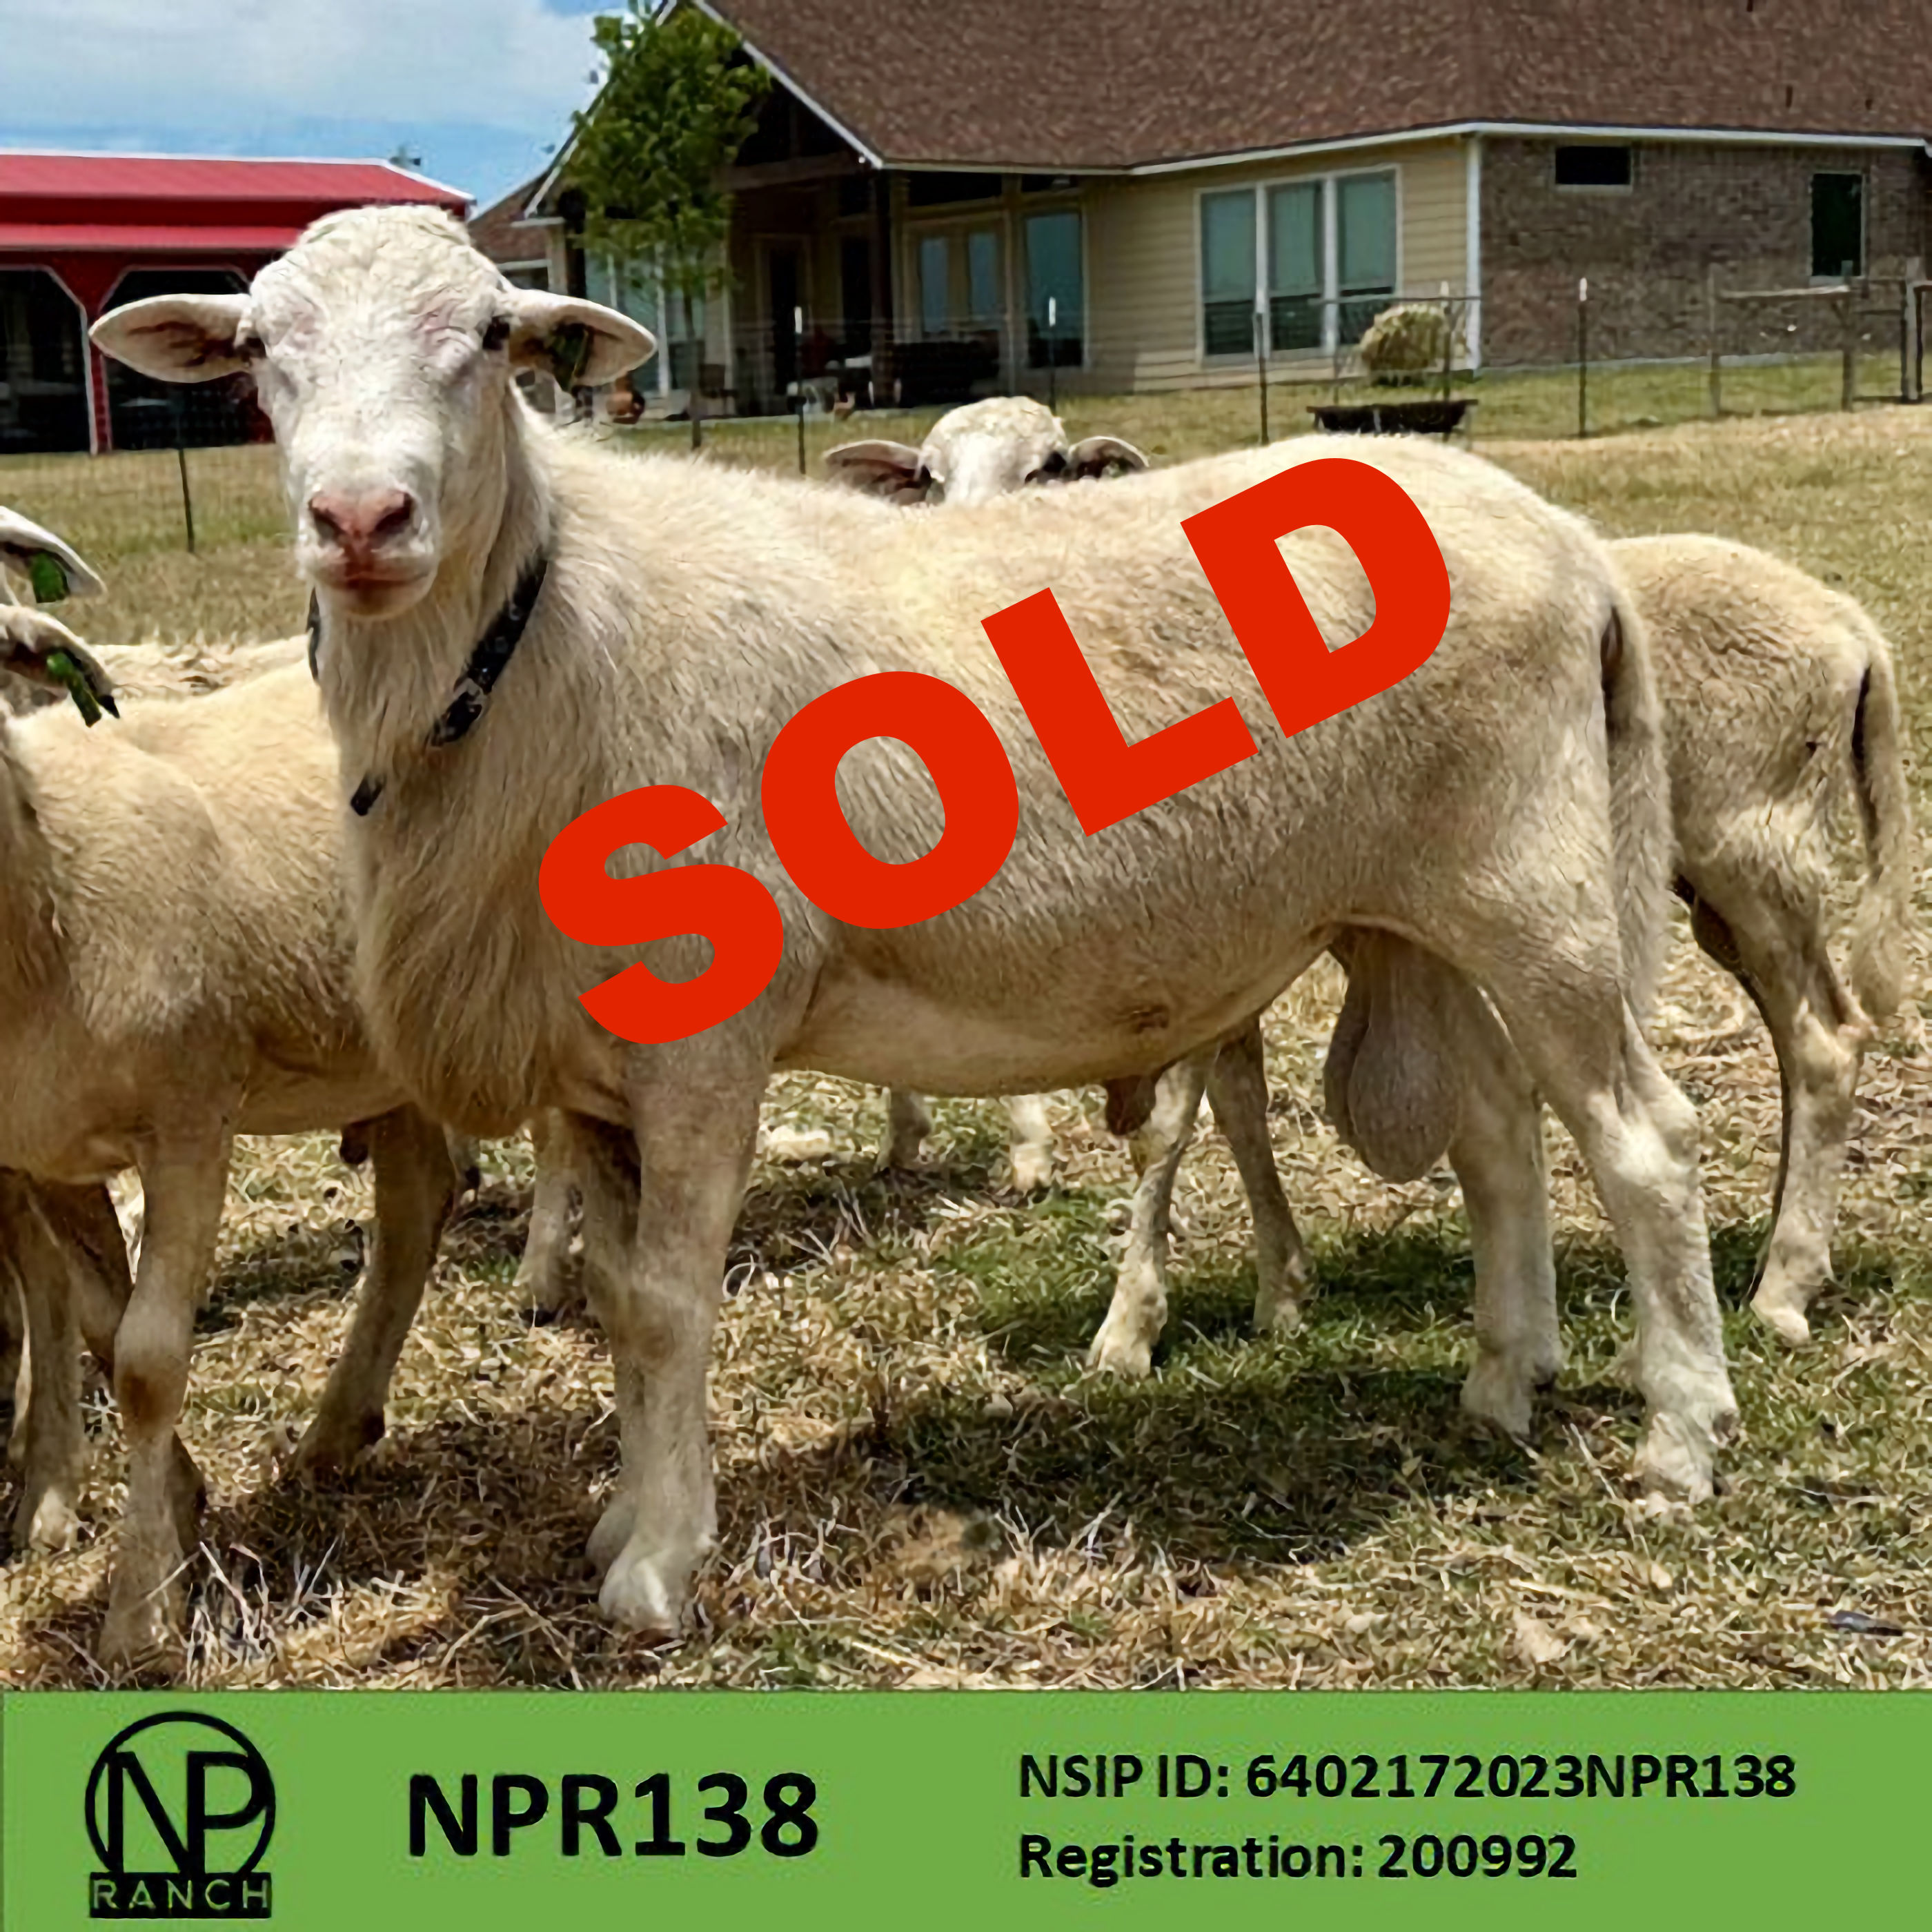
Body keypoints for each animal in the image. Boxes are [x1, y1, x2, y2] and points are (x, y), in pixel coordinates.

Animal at [94, 203, 1734, 1647]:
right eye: (260, 352)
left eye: (492, 337)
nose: (360, 519)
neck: (536, 646)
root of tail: (1572, 540)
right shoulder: (598, 1068)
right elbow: (619, 1306)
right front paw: (623, 1519)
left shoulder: (703, 1031)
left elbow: (670, 1307)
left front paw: (658, 1571)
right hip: (1414, 911)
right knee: (1502, 1133)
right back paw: (1500, 1387)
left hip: (1535, 886)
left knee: (1641, 1140)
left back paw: (1679, 1443)